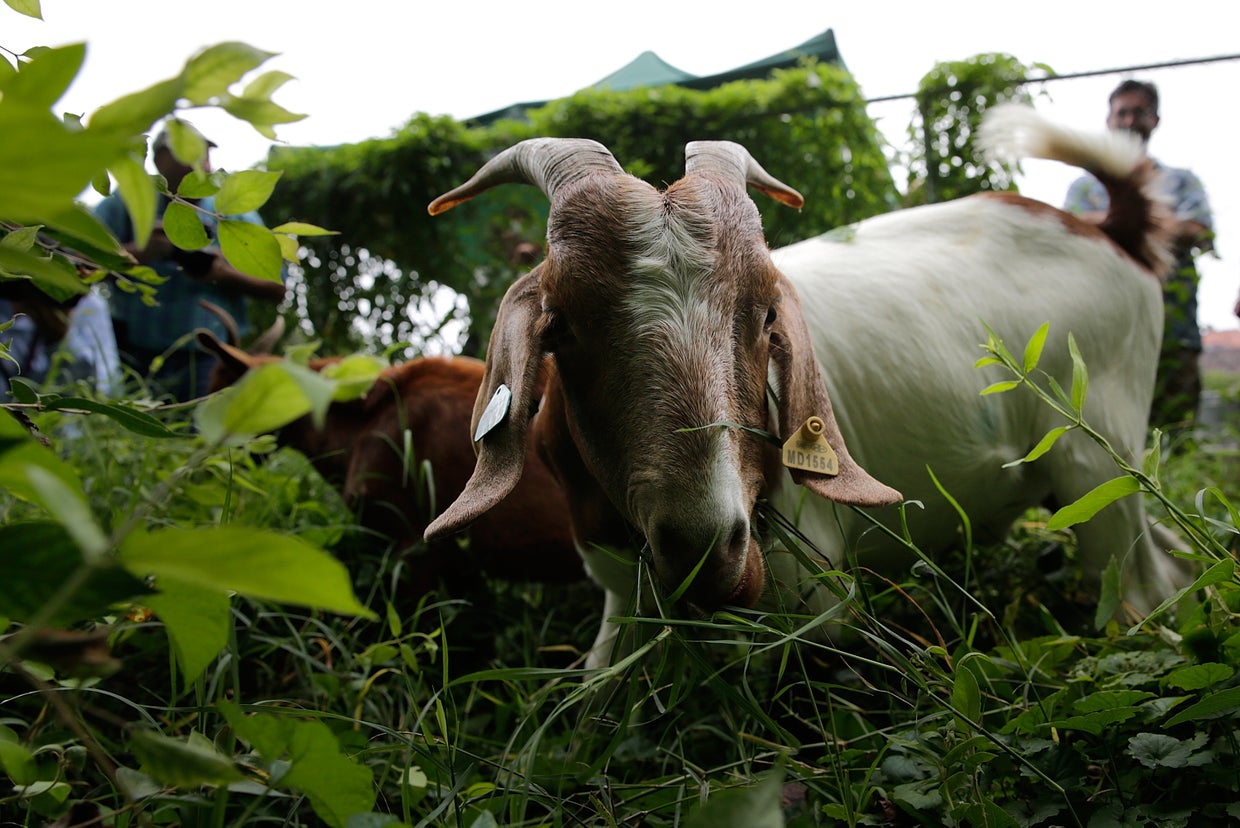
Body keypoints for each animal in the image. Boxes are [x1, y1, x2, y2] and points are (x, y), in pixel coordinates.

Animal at [424, 104, 1193, 667]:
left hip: (1097, 458)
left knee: (1144, 586)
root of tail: (1109, 231)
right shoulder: (617, 593)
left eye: (767, 315)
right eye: (562, 326)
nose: (711, 547)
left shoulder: (813, 598)